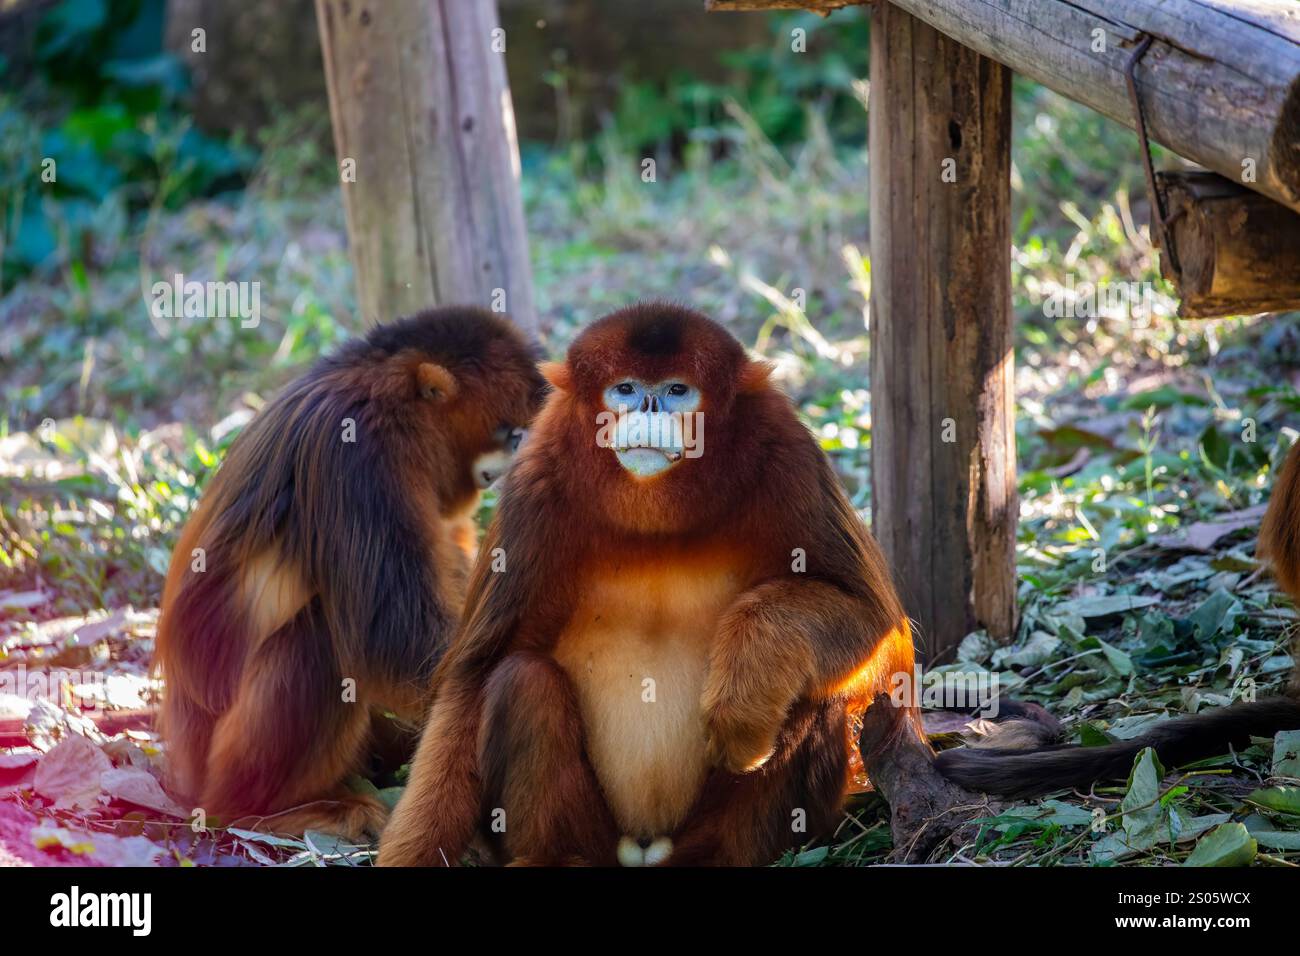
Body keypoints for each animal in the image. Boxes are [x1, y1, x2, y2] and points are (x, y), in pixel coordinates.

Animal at [154, 306, 546, 839]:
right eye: (513, 433)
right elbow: (395, 643)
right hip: (223, 760)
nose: (515, 460)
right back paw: (266, 811)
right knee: (320, 639)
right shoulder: (358, 448)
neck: (378, 385)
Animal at [376, 302, 924, 867]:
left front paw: (744, 693)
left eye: (678, 390)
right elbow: (473, 675)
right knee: (522, 679)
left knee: (814, 687)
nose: (650, 406)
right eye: (625, 388)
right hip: (596, 837)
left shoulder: (788, 455)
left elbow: (876, 624)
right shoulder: (535, 478)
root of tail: (645, 849)